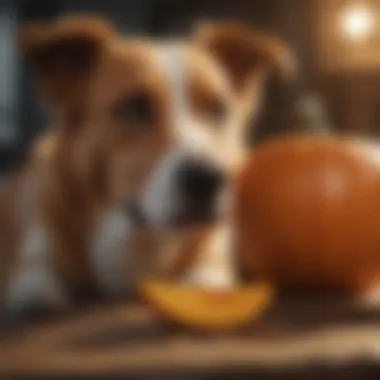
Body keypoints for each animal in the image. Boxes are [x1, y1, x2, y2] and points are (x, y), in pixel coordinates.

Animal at [0, 14, 290, 314]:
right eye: (136, 106)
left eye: (218, 109)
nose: (207, 180)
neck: (141, 237)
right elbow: (34, 279)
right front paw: (39, 292)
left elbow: (208, 269)